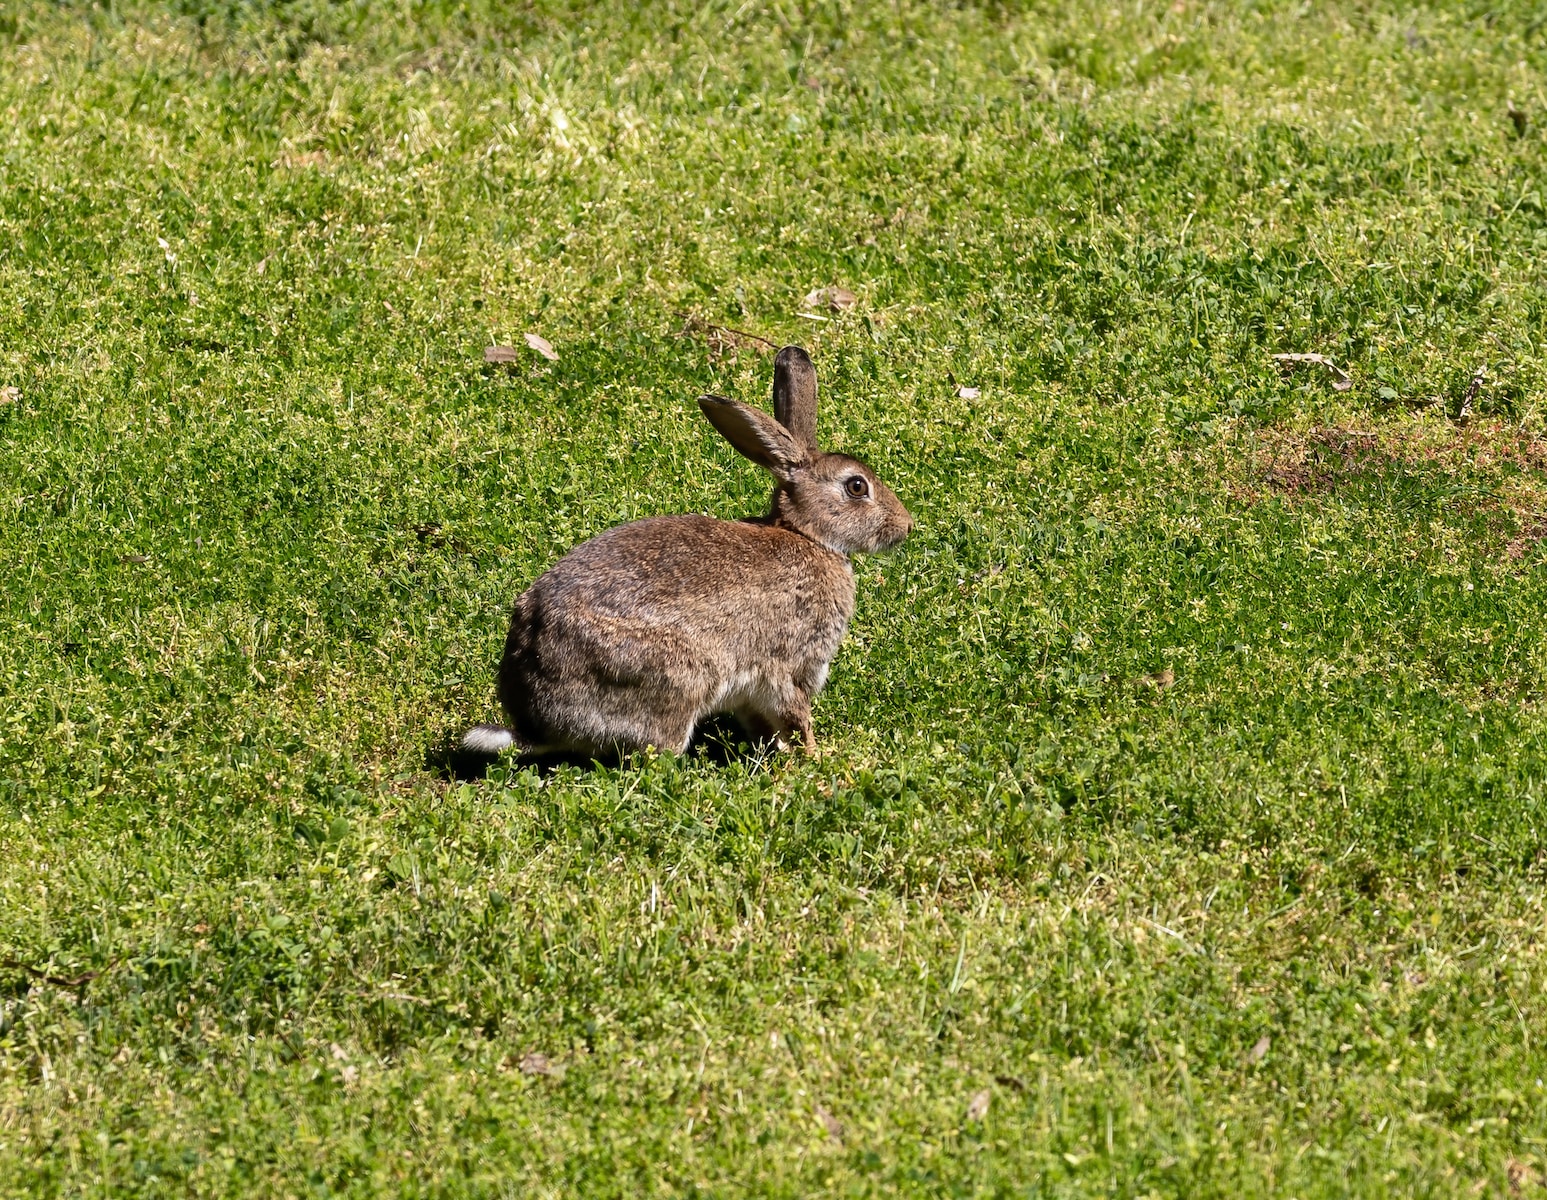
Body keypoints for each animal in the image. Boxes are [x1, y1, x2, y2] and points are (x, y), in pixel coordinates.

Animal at [462, 345, 912, 759]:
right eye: (857, 487)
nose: (905, 527)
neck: (809, 535)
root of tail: (537, 720)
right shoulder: (789, 666)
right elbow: (796, 718)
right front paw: (816, 758)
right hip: (676, 677)